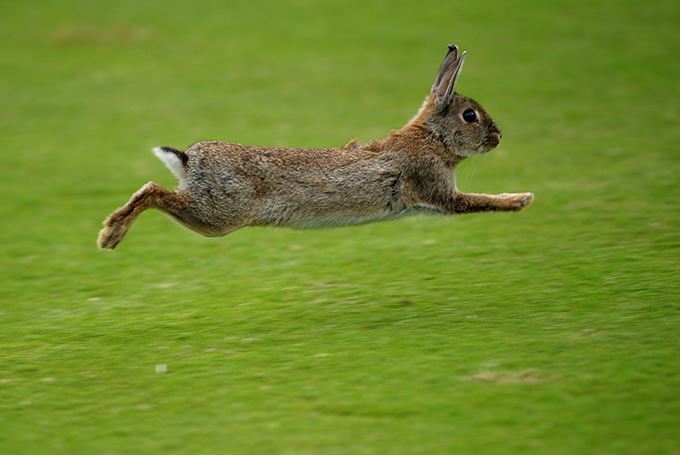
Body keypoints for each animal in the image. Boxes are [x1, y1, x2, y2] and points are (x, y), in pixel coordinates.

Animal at [97, 44, 533, 250]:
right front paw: (521, 200)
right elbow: (478, 201)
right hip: (218, 215)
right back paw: (110, 235)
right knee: (154, 192)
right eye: (470, 116)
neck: (432, 138)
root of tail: (190, 161)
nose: (498, 137)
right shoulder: (436, 190)